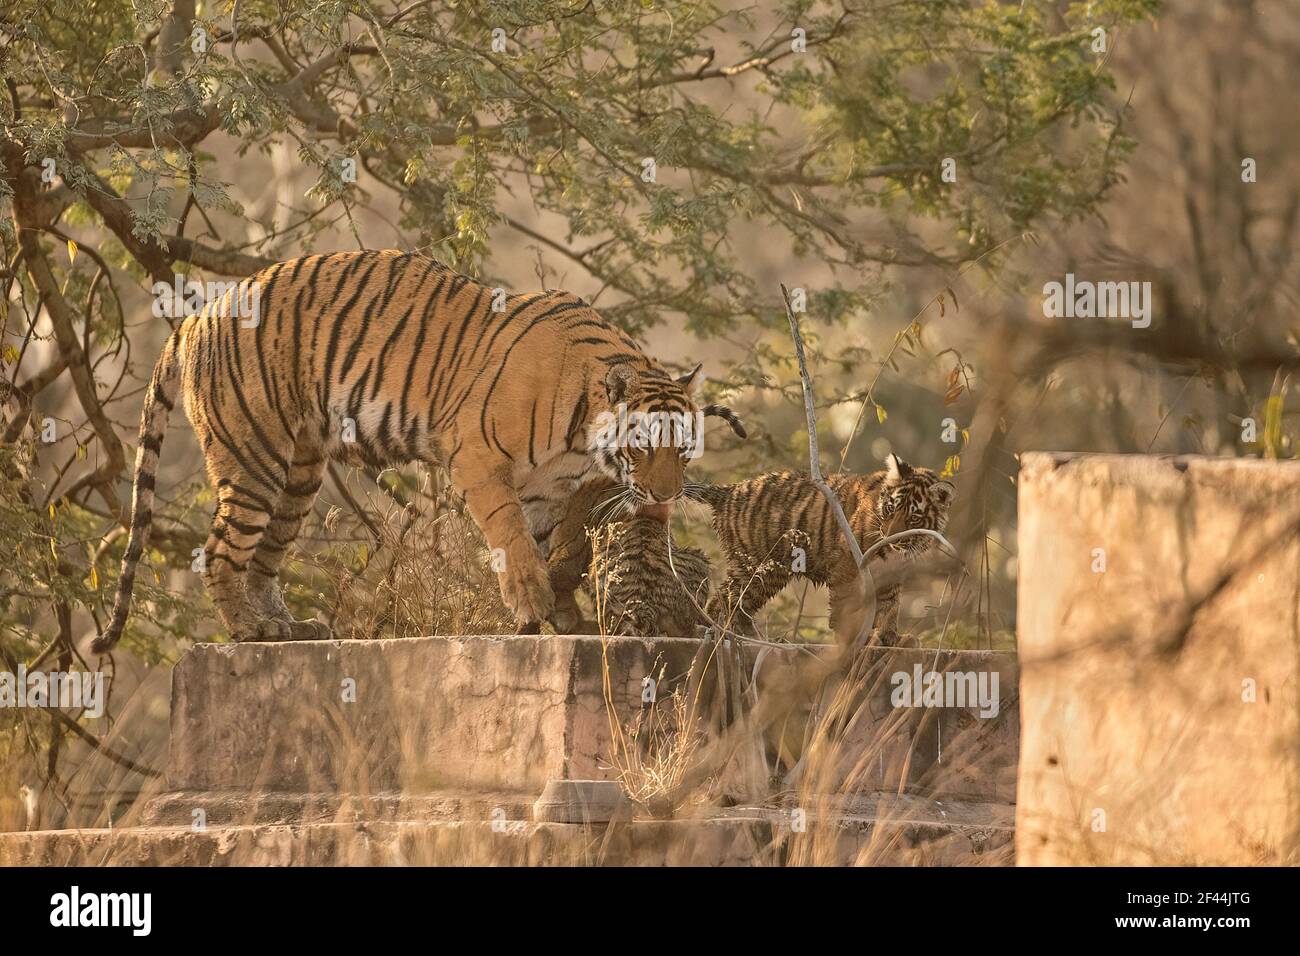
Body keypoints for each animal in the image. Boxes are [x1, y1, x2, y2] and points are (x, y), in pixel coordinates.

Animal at [92, 249, 740, 652]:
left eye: (685, 451)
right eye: (643, 447)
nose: (664, 497)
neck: (581, 432)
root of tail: (198, 315)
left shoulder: (549, 489)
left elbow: (545, 543)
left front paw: (557, 615)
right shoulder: (478, 456)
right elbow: (512, 539)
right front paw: (532, 604)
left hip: (298, 473)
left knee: (265, 556)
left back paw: (286, 627)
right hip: (254, 455)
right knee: (220, 550)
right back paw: (248, 632)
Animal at [686, 454, 954, 645]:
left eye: (914, 518)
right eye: (891, 508)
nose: (890, 537)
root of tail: (730, 490)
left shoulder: (890, 574)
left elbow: (890, 606)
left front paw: (891, 638)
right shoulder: (850, 564)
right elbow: (847, 604)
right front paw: (855, 638)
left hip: (767, 573)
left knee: (738, 602)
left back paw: (748, 635)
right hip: (758, 565)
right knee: (723, 599)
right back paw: (726, 634)